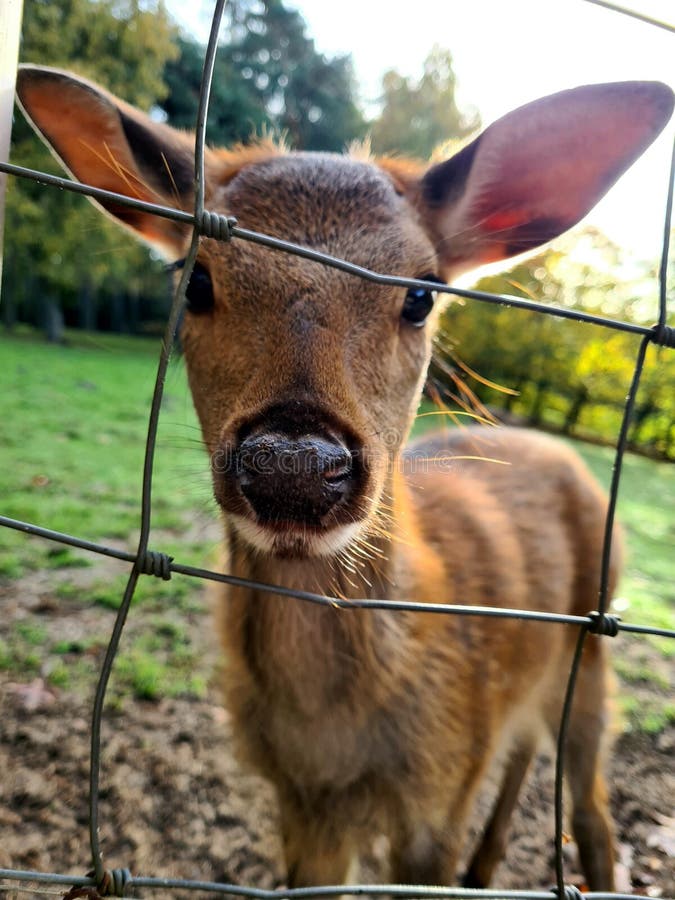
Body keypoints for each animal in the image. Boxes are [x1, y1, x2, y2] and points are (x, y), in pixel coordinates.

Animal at [15, 66, 674, 891]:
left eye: (422, 292)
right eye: (195, 278)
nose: (294, 466)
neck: (334, 741)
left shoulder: (439, 795)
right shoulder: (301, 808)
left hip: (594, 652)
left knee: (589, 804)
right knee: (524, 750)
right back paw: (486, 867)